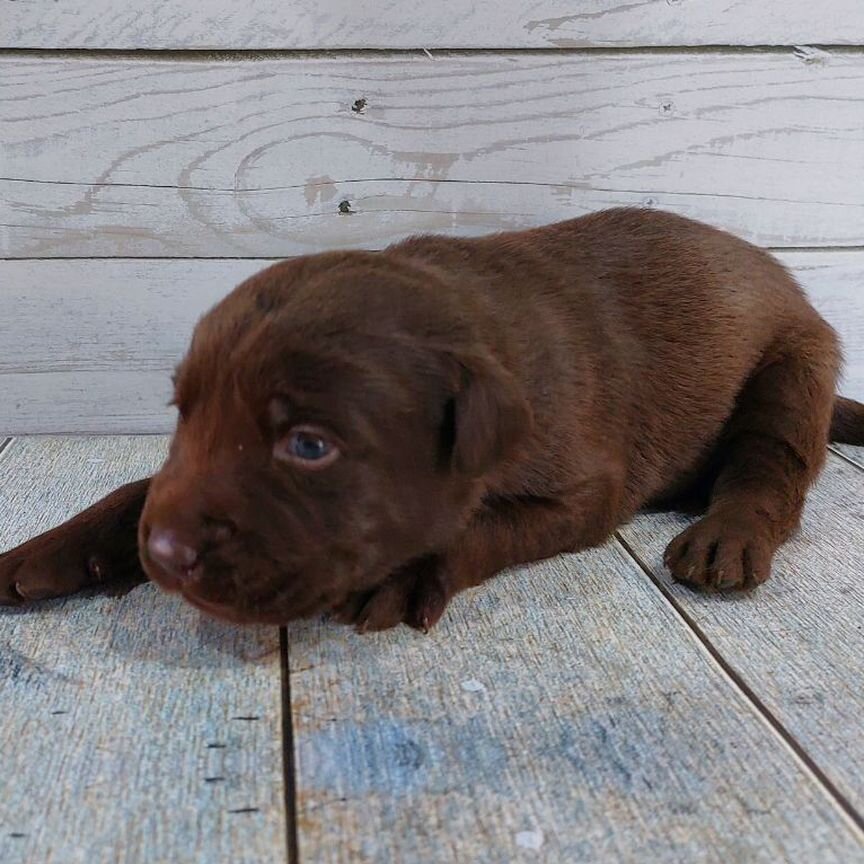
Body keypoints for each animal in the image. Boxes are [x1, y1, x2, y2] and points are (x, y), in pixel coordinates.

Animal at [1, 207, 864, 632]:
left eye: (309, 446)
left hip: (792, 369)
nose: (167, 554)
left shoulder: (587, 490)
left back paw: (727, 536)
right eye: (183, 416)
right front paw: (50, 550)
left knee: (771, 468)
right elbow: (134, 490)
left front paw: (404, 573)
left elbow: (473, 525)